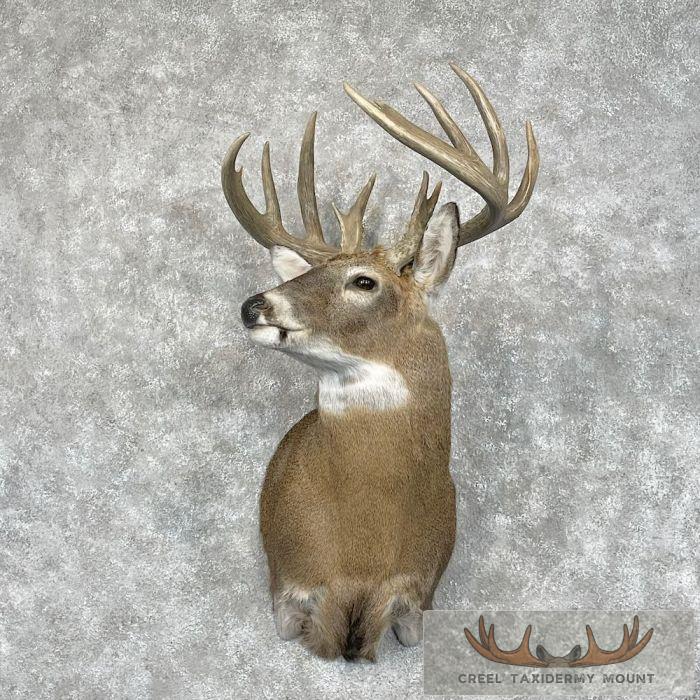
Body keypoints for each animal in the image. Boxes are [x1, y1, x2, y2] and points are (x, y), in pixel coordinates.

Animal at [222, 64, 539, 661]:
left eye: (364, 282)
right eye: (306, 272)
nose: (254, 305)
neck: (362, 552)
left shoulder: (417, 597)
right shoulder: (290, 588)